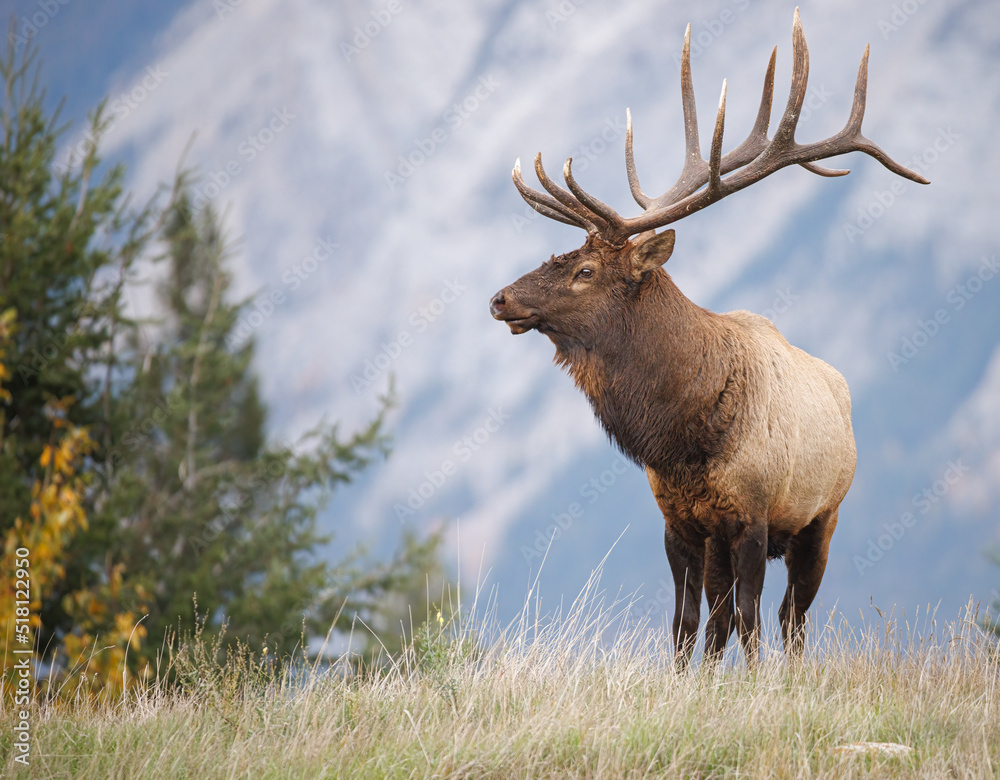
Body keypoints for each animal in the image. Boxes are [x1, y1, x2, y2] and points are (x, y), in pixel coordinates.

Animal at [490, 9, 928, 667]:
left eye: (584, 271)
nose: (500, 299)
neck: (681, 439)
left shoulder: (753, 515)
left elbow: (748, 619)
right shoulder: (681, 522)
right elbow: (688, 622)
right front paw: (686, 679)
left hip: (821, 518)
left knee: (790, 616)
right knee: (731, 618)